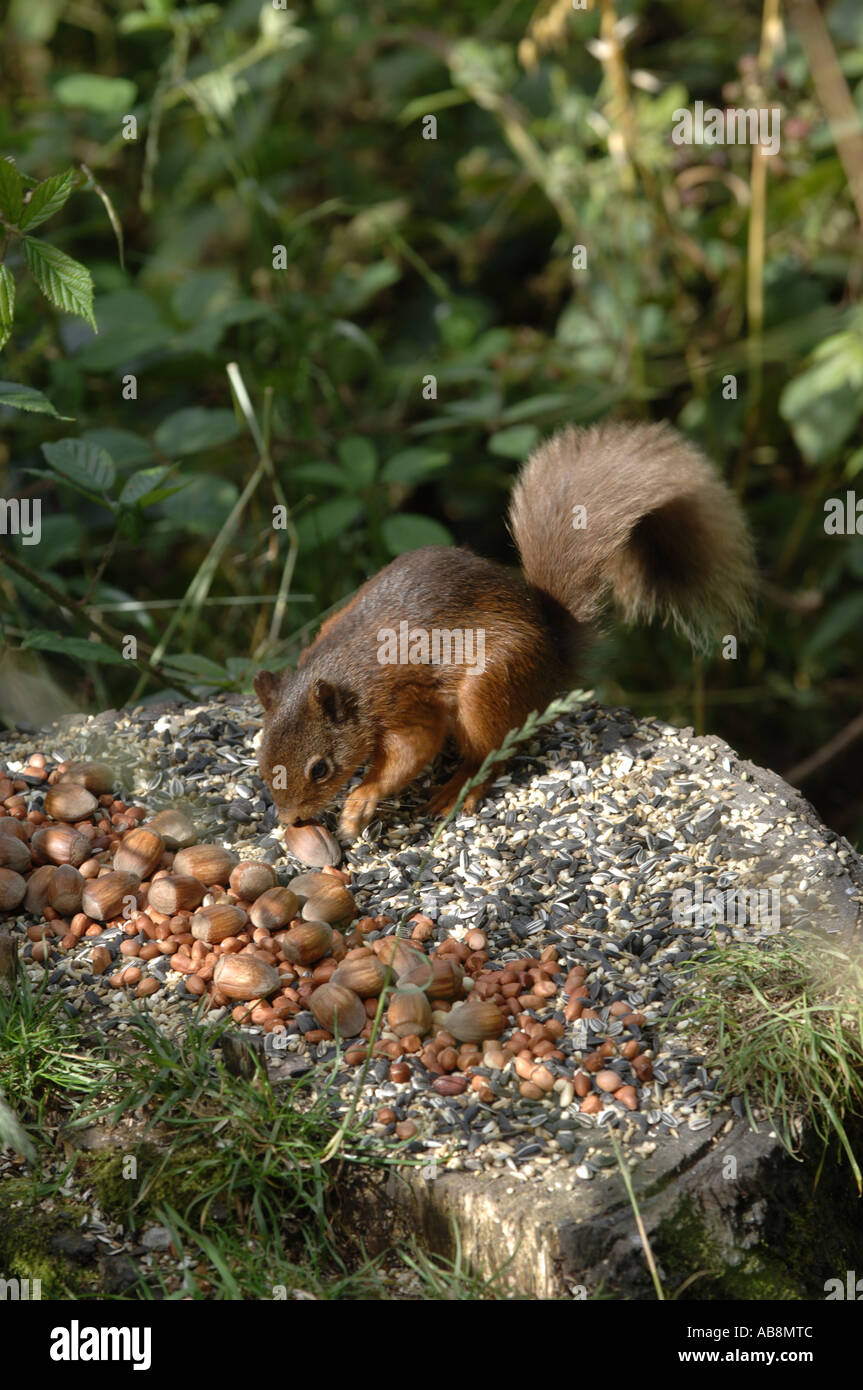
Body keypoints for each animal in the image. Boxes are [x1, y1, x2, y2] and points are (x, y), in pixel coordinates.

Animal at [254, 420, 755, 839]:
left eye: (320, 769)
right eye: (261, 761)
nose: (293, 820)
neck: (343, 671)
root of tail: (552, 661)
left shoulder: (401, 700)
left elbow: (412, 749)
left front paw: (361, 800)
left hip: (489, 687)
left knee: (492, 756)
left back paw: (458, 789)